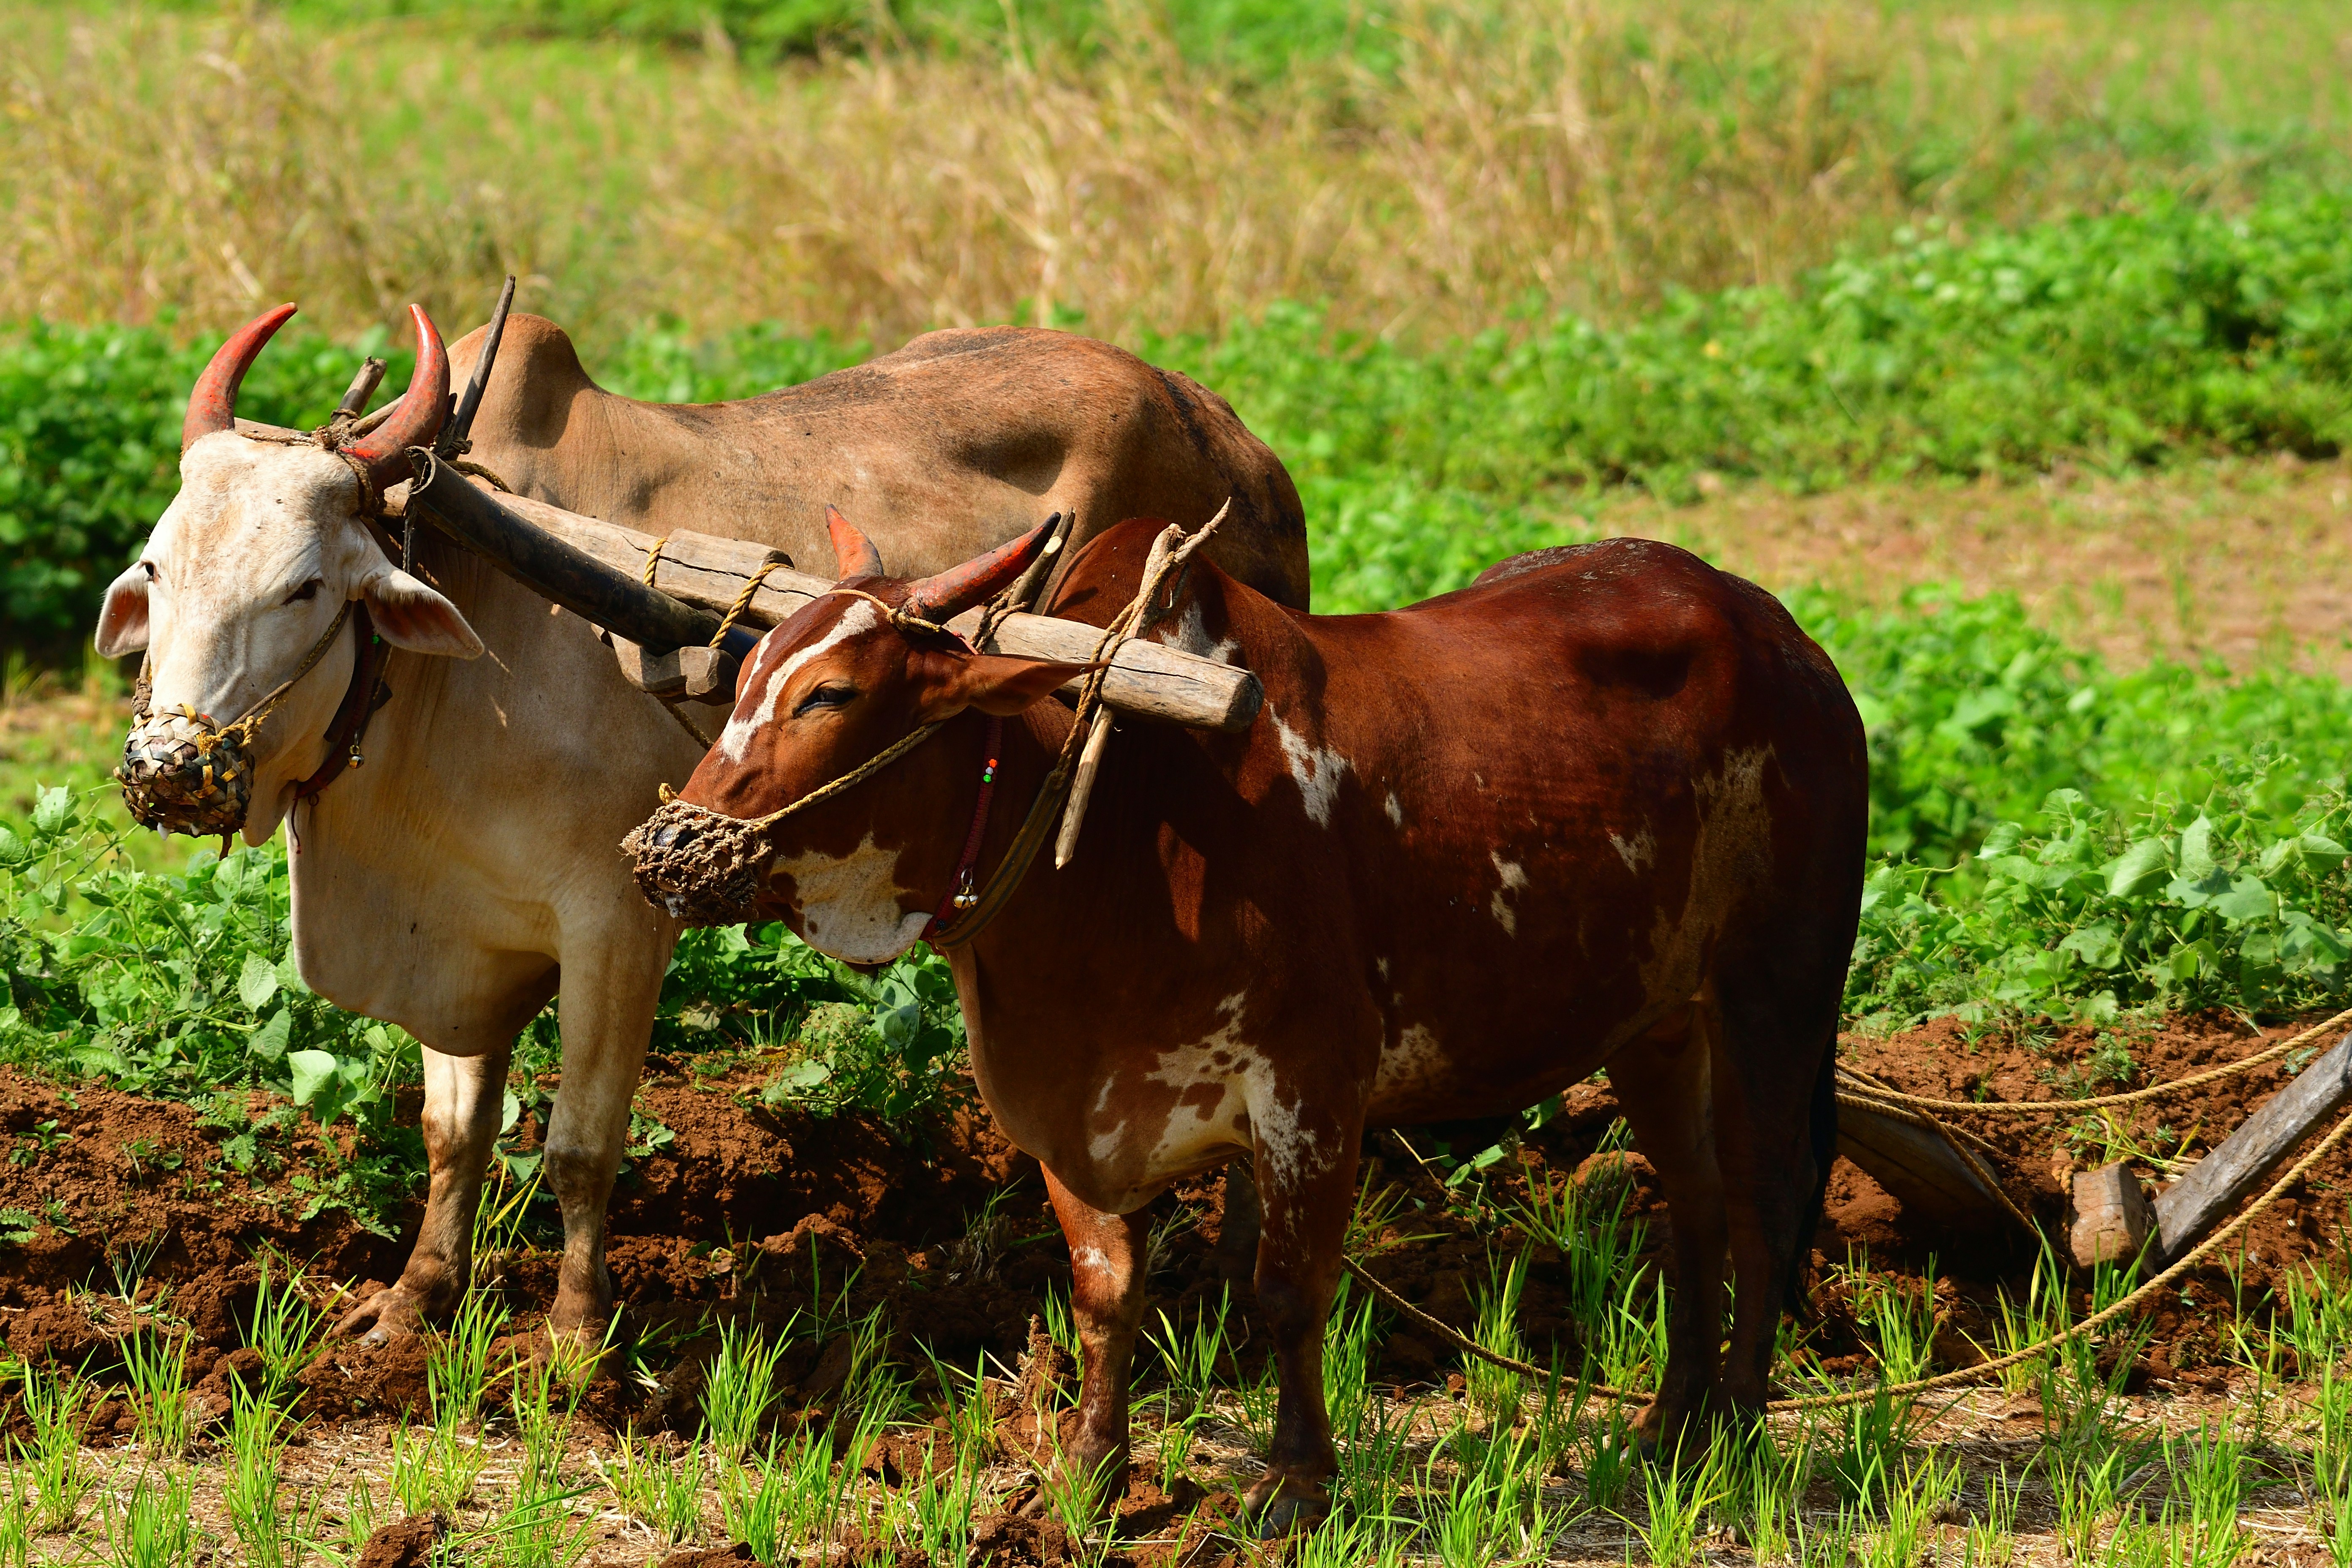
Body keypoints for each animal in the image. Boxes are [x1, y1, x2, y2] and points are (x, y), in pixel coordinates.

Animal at [92, 303, 1308, 1350]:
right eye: (156, 566)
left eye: (303, 587)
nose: (165, 770)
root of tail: (1238, 442)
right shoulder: (460, 929)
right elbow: (454, 1134)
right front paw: (413, 1303)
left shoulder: (618, 921)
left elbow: (580, 1147)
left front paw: (576, 1337)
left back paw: (1245, 1285)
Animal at [626, 513, 1869, 1531]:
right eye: (745, 674)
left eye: (829, 696)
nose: (665, 850)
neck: (1119, 809)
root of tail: (1779, 634)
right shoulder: (1067, 1111)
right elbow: (1105, 1293)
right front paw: (1090, 1472)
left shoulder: (1311, 1091)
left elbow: (1286, 1289)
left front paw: (1298, 1482)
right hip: (1654, 1023)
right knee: (1694, 1203)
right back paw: (1671, 1429)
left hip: (1777, 987)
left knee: (1761, 1200)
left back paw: (1740, 1435)